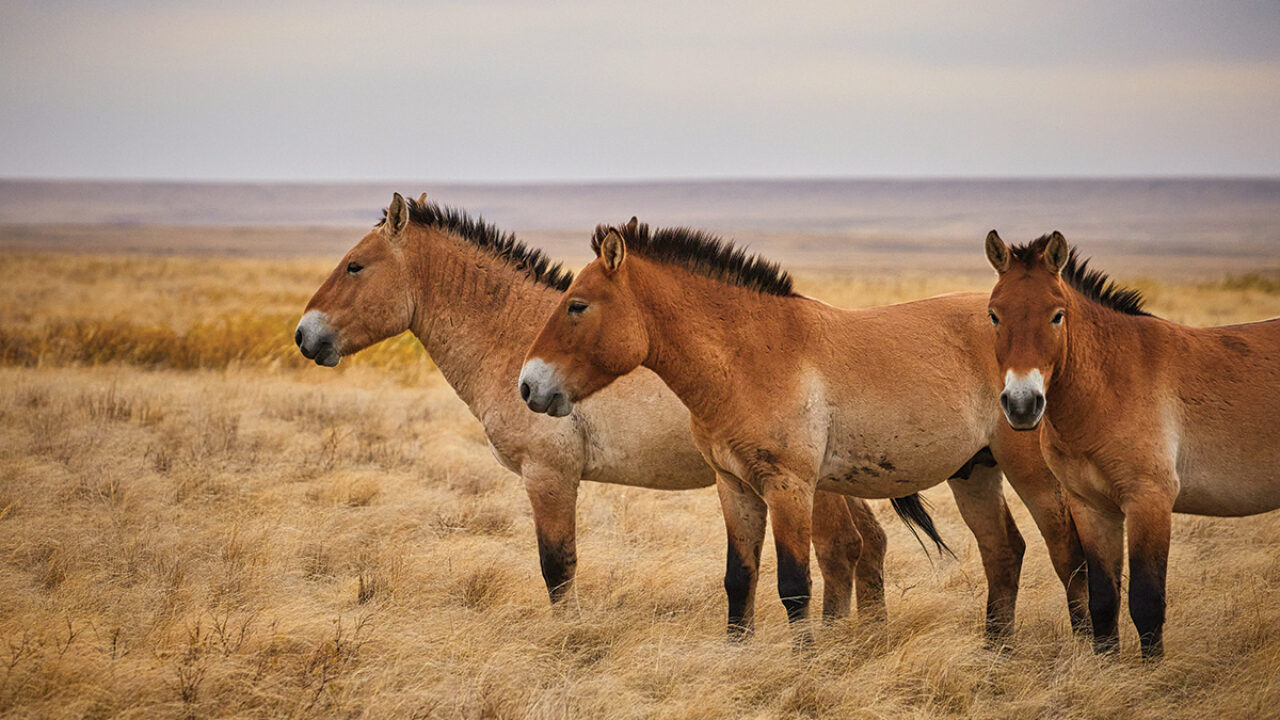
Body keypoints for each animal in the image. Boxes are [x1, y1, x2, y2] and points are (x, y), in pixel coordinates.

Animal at [294, 192, 892, 620]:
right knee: (869, 546)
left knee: (840, 549)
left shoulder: (548, 475)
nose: (304, 336)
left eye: (354, 266)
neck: (515, 337)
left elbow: (558, 567)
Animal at [520, 219, 1090, 640]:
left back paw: (1085, 649)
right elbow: (740, 579)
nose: (528, 386)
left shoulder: (789, 487)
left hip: (1033, 475)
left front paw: (804, 664)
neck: (747, 358)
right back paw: (996, 651)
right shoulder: (735, 488)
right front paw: (738, 654)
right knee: (1004, 553)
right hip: (974, 473)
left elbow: (794, 583)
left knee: (1068, 553)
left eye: (576, 305)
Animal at [984, 231, 1280, 658]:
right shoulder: (1092, 508)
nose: (1023, 405)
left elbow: (1146, 601)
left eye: (1057, 315)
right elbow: (1103, 600)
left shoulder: (1149, 501)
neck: (1111, 383)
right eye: (994, 314)